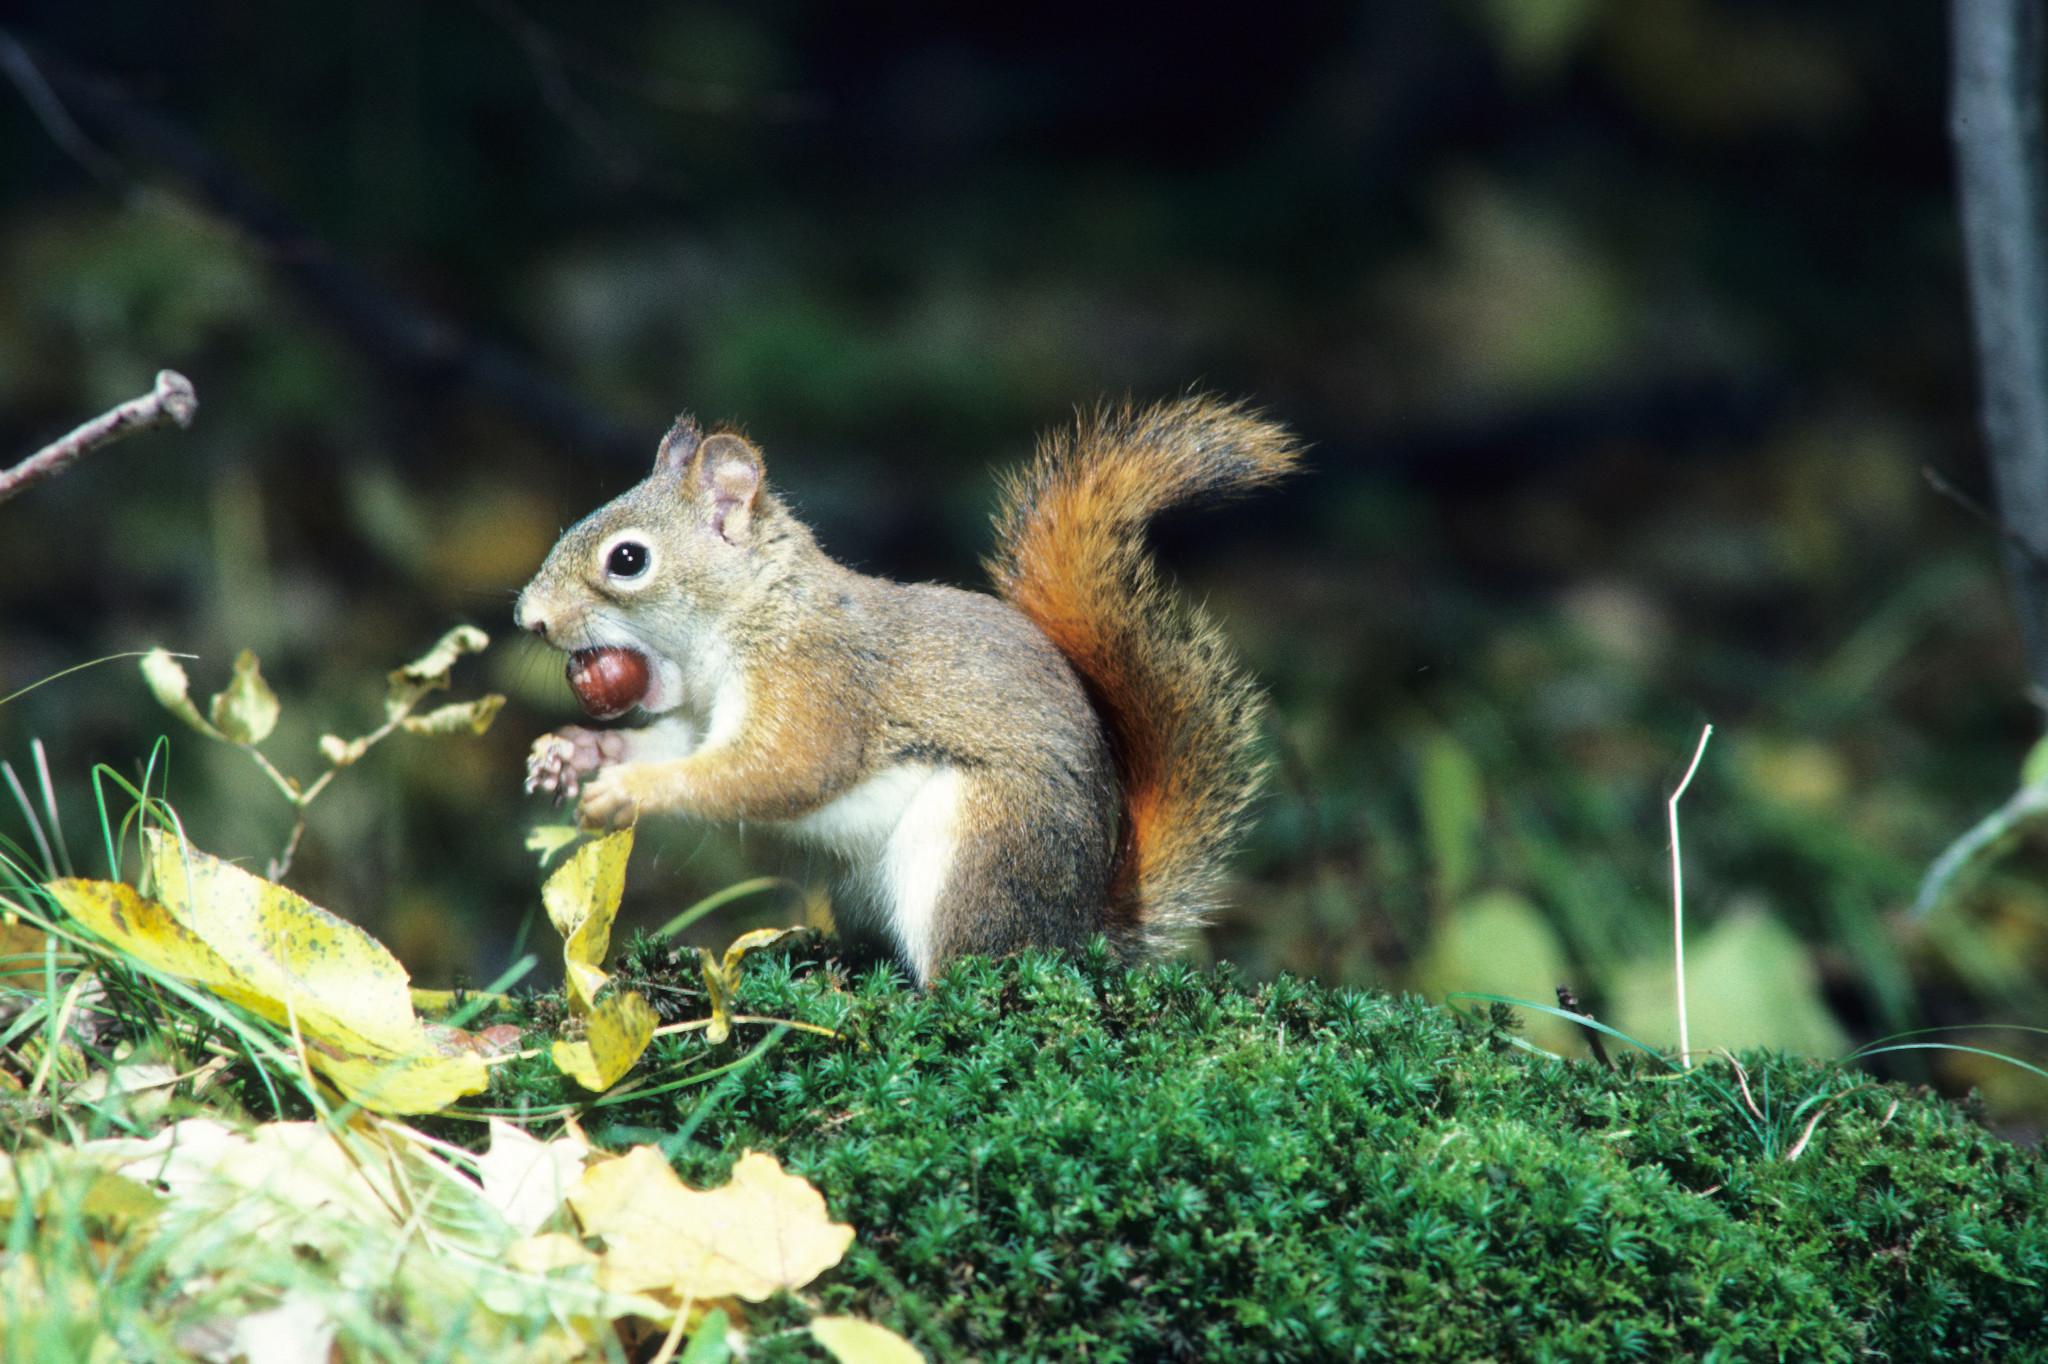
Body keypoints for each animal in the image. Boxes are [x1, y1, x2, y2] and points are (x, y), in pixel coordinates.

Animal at [518, 395, 1300, 984]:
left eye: (627, 560)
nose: (529, 619)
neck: (748, 612)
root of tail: (1074, 933)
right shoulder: (702, 711)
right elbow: (676, 744)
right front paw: (576, 751)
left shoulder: (817, 680)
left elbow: (778, 770)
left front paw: (628, 793)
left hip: (977, 848)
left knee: (966, 977)